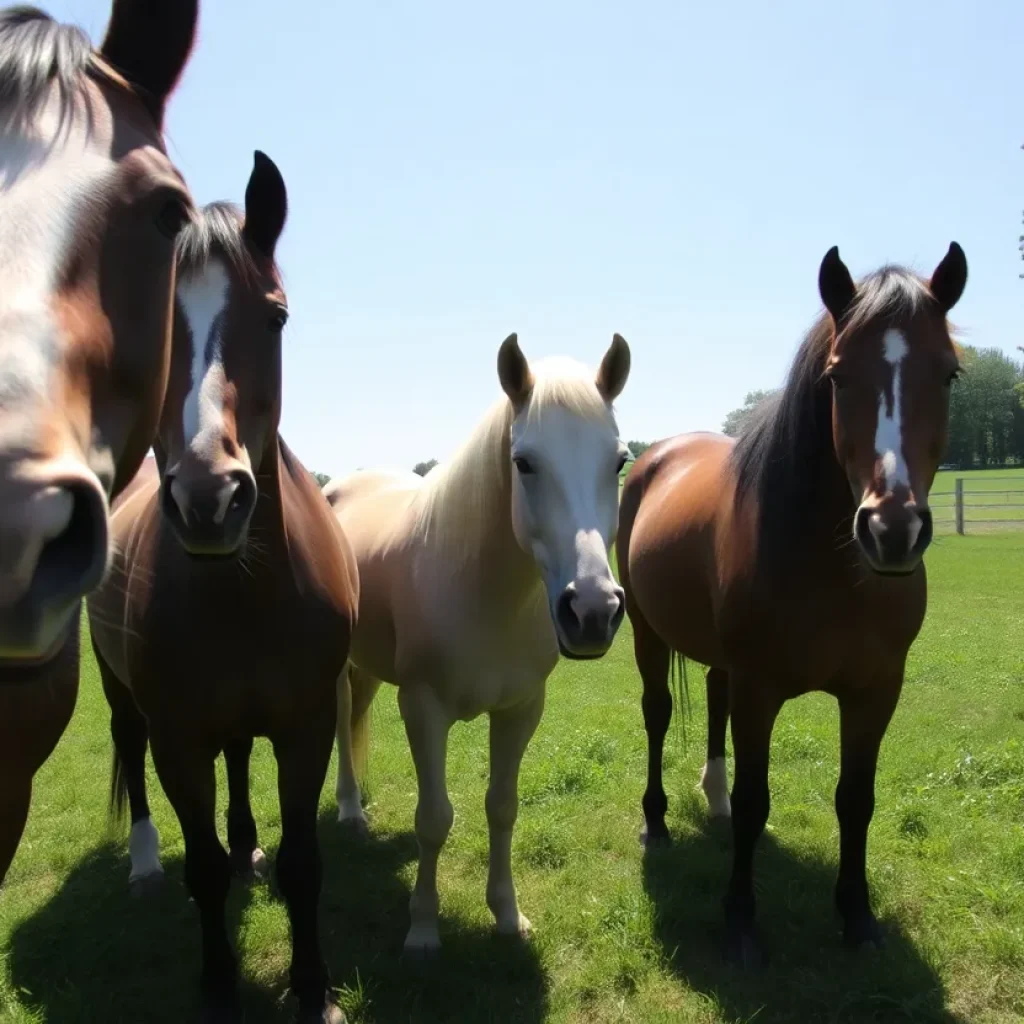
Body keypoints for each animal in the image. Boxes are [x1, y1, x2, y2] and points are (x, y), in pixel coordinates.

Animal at [88, 153, 360, 1024]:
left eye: (275, 317)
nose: (210, 497)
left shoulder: (307, 722)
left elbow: (306, 862)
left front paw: (312, 987)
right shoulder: (178, 738)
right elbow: (200, 866)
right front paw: (215, 984)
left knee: (238, 759)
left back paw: (248, 844)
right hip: (120, 692)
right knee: (128, 749)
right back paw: (145, 864)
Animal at [325, 331, 630, 954]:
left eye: (618, 461)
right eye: (524, 462)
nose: (592, 611)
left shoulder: (521, 709)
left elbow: (502, 808)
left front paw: (508, 915)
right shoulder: (422, 708)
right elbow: (433, 819)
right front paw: (422, 929)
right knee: (344, 720)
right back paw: (349, 810)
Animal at [614, 243, 966, 962]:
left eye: (948, 374)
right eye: (837, 376)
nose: (891, 530)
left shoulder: (876, 690)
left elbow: (856, 799)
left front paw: (857, 916)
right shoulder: (761, 687)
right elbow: (757, 799)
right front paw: (740, 919)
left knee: (712, 701)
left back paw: (712, 799)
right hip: (645, 631)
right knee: (657, 715)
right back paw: (656, 824)